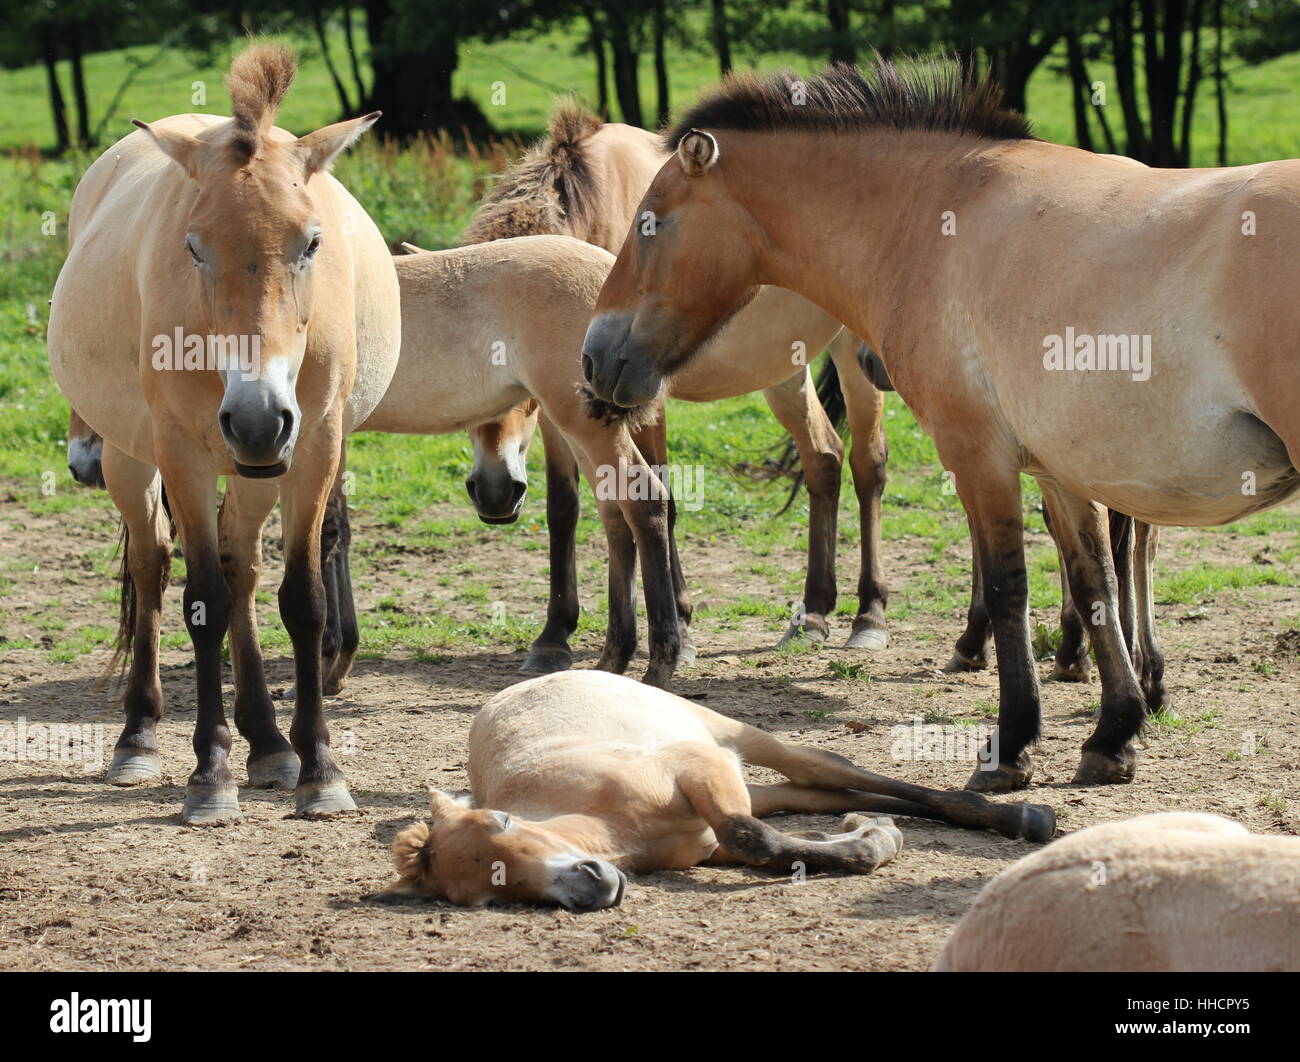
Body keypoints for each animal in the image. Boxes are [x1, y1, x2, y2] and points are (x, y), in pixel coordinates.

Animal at [46, 45, 402, 824]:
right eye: (194, 248)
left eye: (312, 242)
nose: (259, 417)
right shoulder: (182, 453)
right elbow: (200, 601)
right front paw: (209, 776)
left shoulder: (313, 449)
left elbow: (302, 601)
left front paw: (318, 768)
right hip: (134, 460)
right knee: (152, 564)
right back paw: (140, 736)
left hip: (255, 469)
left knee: (242, 568)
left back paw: (268, 743)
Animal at [380, 670, 1056, 909]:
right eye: (483, 898)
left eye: (502, 823)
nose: (590, 886)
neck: (615, 828)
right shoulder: (712, 826)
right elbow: (768, 843)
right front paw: (870, 841)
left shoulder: (698, 765)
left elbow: (755, 838)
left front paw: (875, 843)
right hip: (750, 777)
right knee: (817, 794)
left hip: (731, 734)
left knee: (833, 769)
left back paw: (1021, 816)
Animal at [579, 57, 1281, 790]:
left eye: (650, 224)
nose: (592, 357)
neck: (939, 216)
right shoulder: (1059, 470)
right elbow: (1096, 583)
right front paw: (1113, 735)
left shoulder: (979, 456)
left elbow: (1008, 586)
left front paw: (1012, 744)